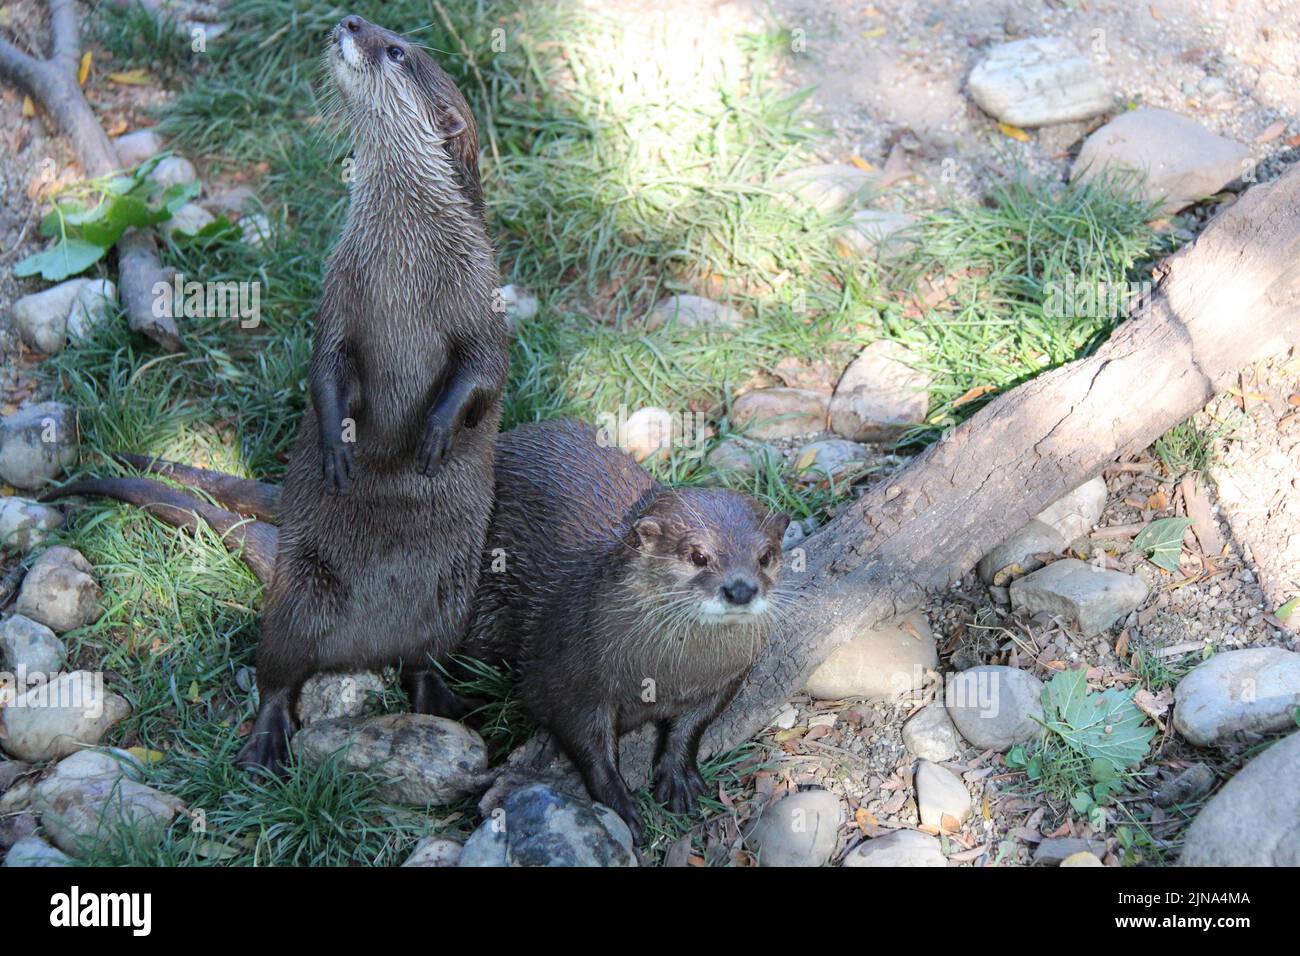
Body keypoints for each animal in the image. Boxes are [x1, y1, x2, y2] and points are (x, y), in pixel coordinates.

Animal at [46, 422, 789, 842]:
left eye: (766, 555)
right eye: (698, 555)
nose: (741, 587)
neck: (664, 668)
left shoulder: (724, 678)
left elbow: (690, 727)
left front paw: (679, 777)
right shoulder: (569, 670)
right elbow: (583, 741)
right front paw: (622, 805)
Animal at [234, 15, 507, 772]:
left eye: (397, 52)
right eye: (386, 34)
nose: (352, 22)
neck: (406, 267)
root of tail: (365, 649)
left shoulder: (483, 300)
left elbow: (484, 371)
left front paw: (434, 433)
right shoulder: (339, 295)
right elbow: (325, 368)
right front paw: (338, 447)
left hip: (452, 598)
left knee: (421, 659)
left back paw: (442, 702)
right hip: (297, 595)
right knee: (277, 671)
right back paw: (266, 742)